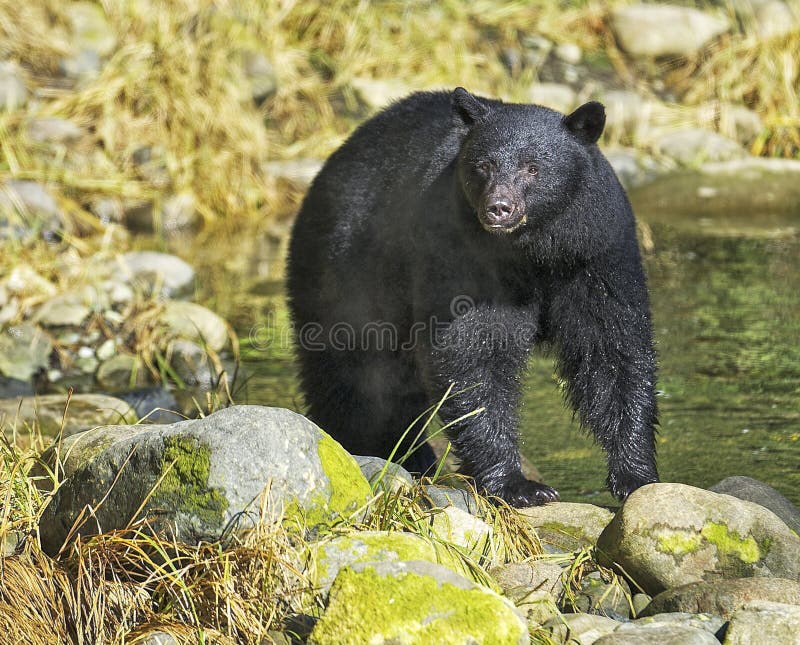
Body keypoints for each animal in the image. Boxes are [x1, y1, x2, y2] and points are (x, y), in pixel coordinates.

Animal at [286, 87, 659, 506]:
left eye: (533, 168)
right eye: (483, 165)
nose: (498, 208)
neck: (534, 252)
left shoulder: (594, 255)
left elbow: (611, 346)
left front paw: (635, 474)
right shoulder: (464, 257)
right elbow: (474, 352)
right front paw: (519, 485)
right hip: (346, 268)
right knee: (356, 371)